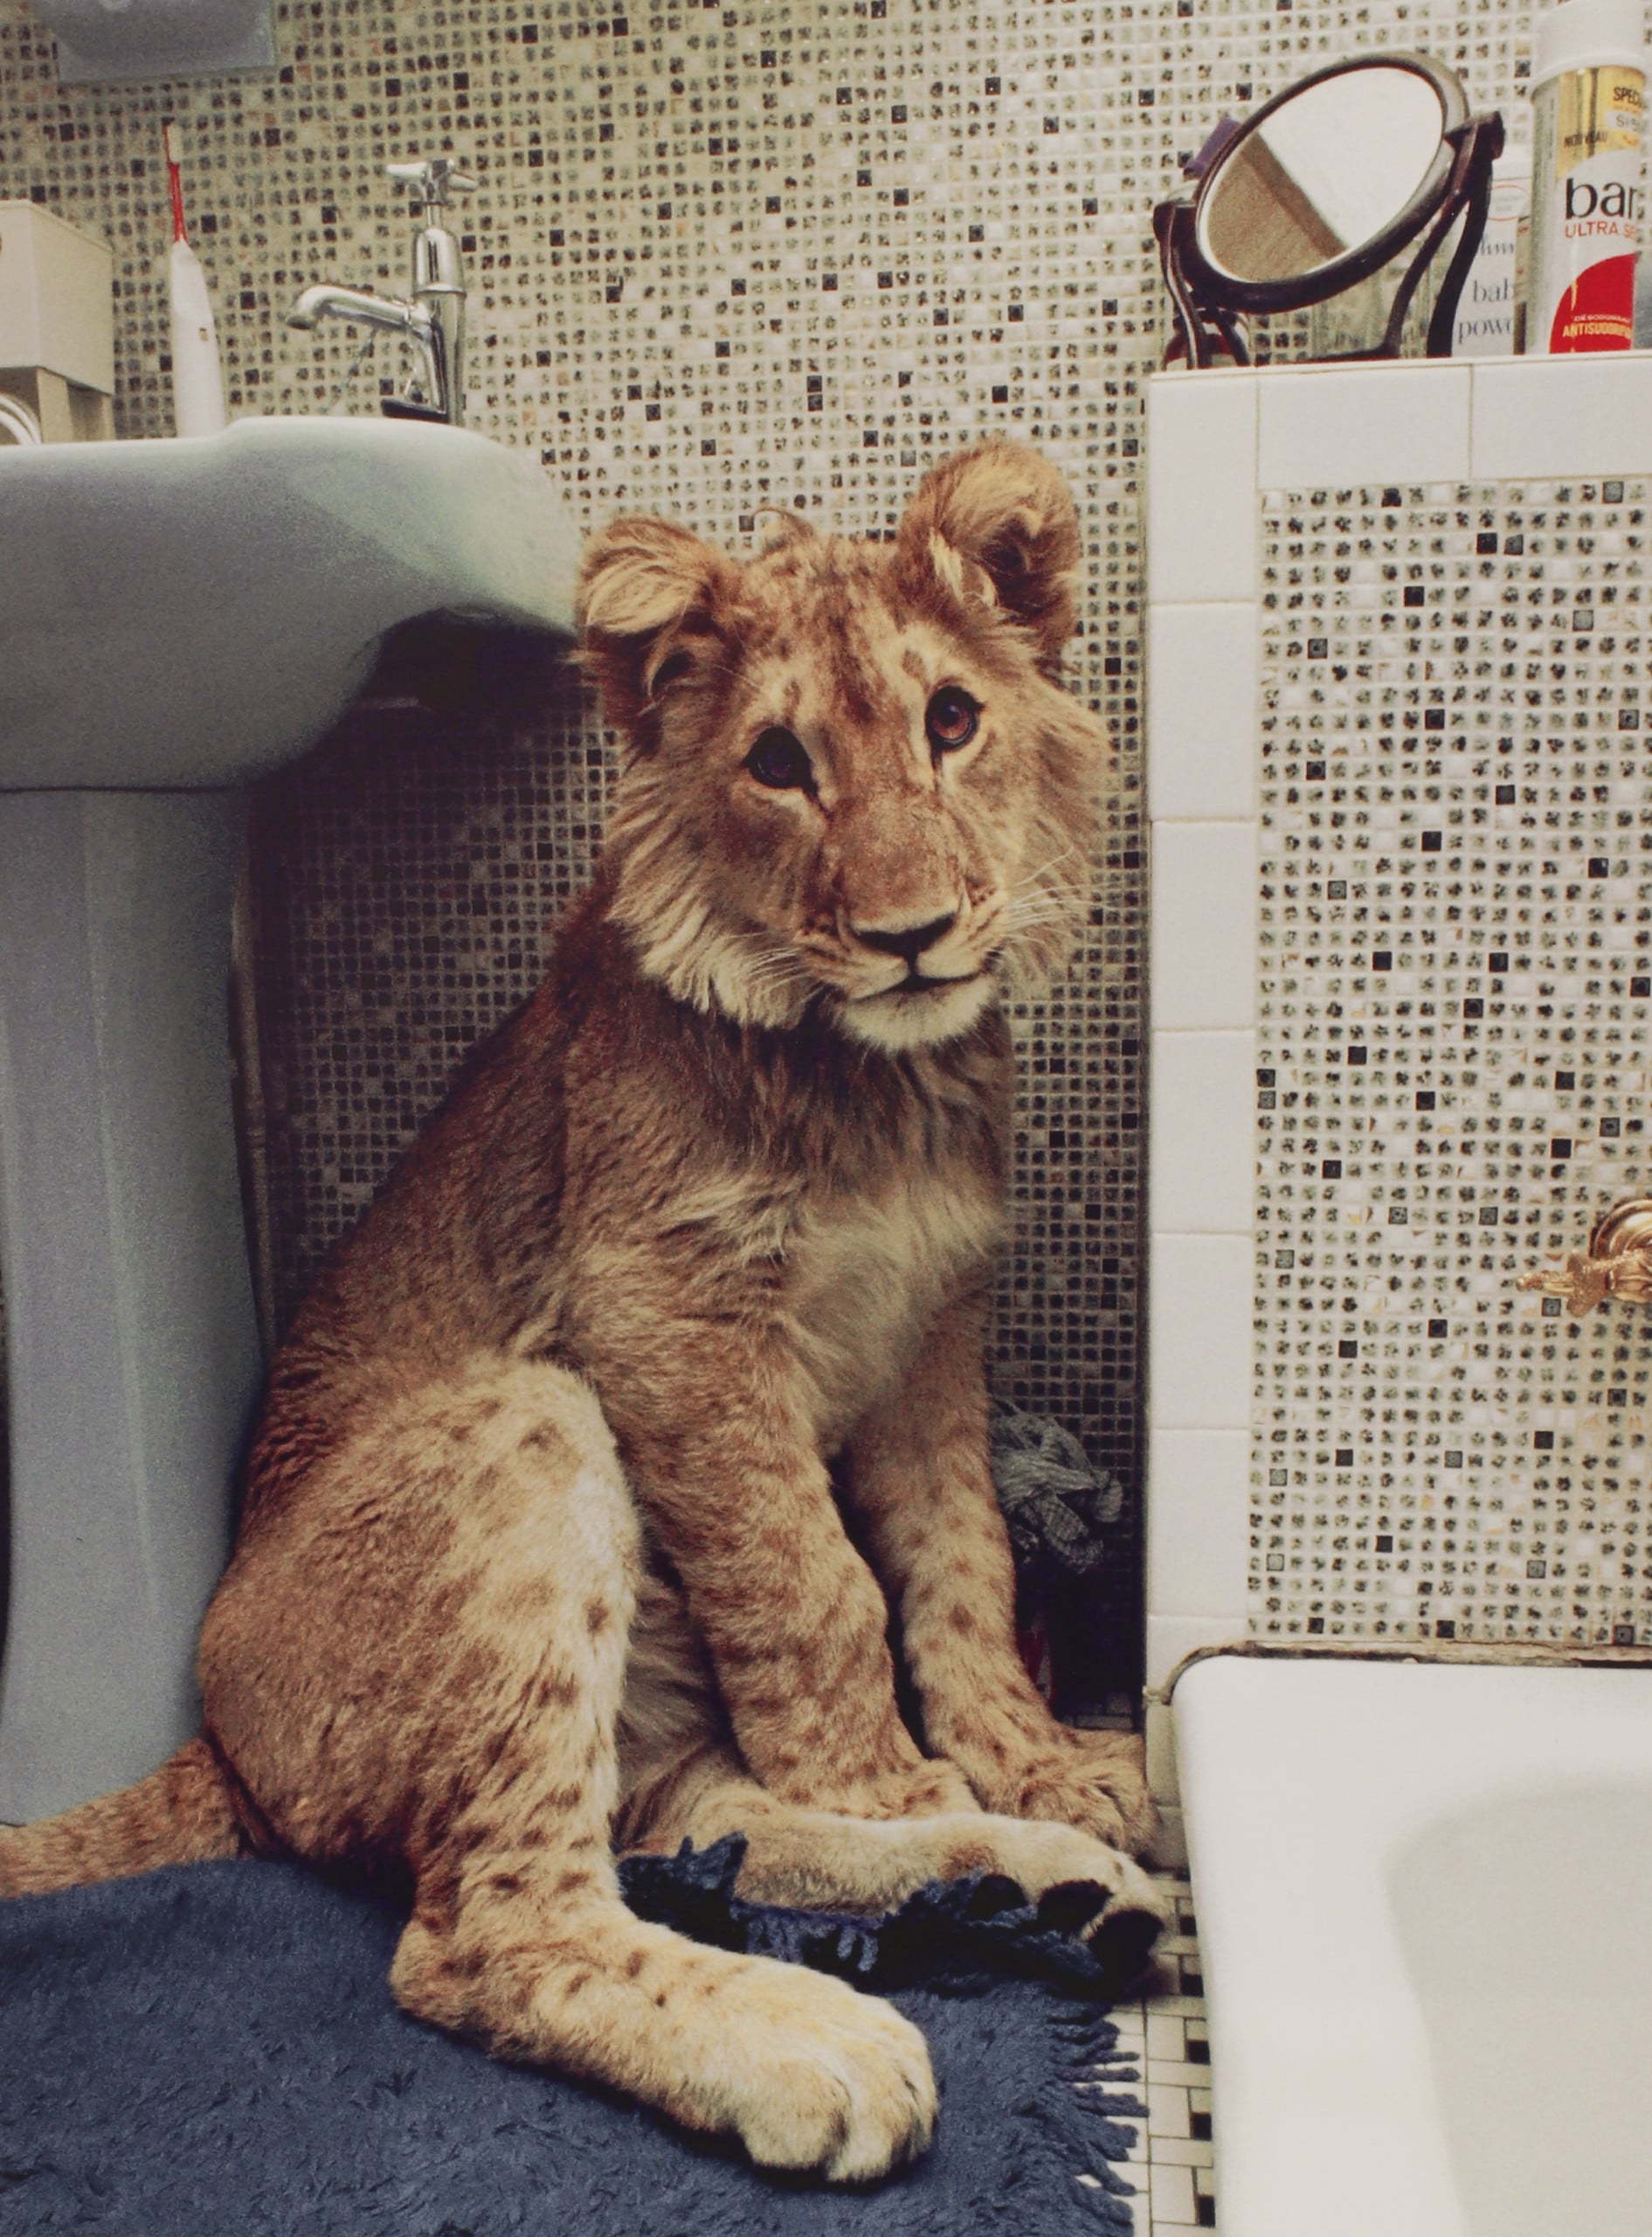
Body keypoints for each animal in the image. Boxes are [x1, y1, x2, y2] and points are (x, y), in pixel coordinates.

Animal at [0, 442, 1167, 2182]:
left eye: (953, 719)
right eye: (777, 764)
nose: (908, 938)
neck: (877, 1086)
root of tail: (217, 1737)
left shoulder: (930, 1327)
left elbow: (960, 1564)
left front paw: (1030, 1762)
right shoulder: (662, 1317)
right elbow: (814, 1590)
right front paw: (890, 1782)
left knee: (686, 1824)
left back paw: (1052, 1884)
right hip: (527, 1414)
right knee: (487, 1929)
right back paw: (816, 2034)